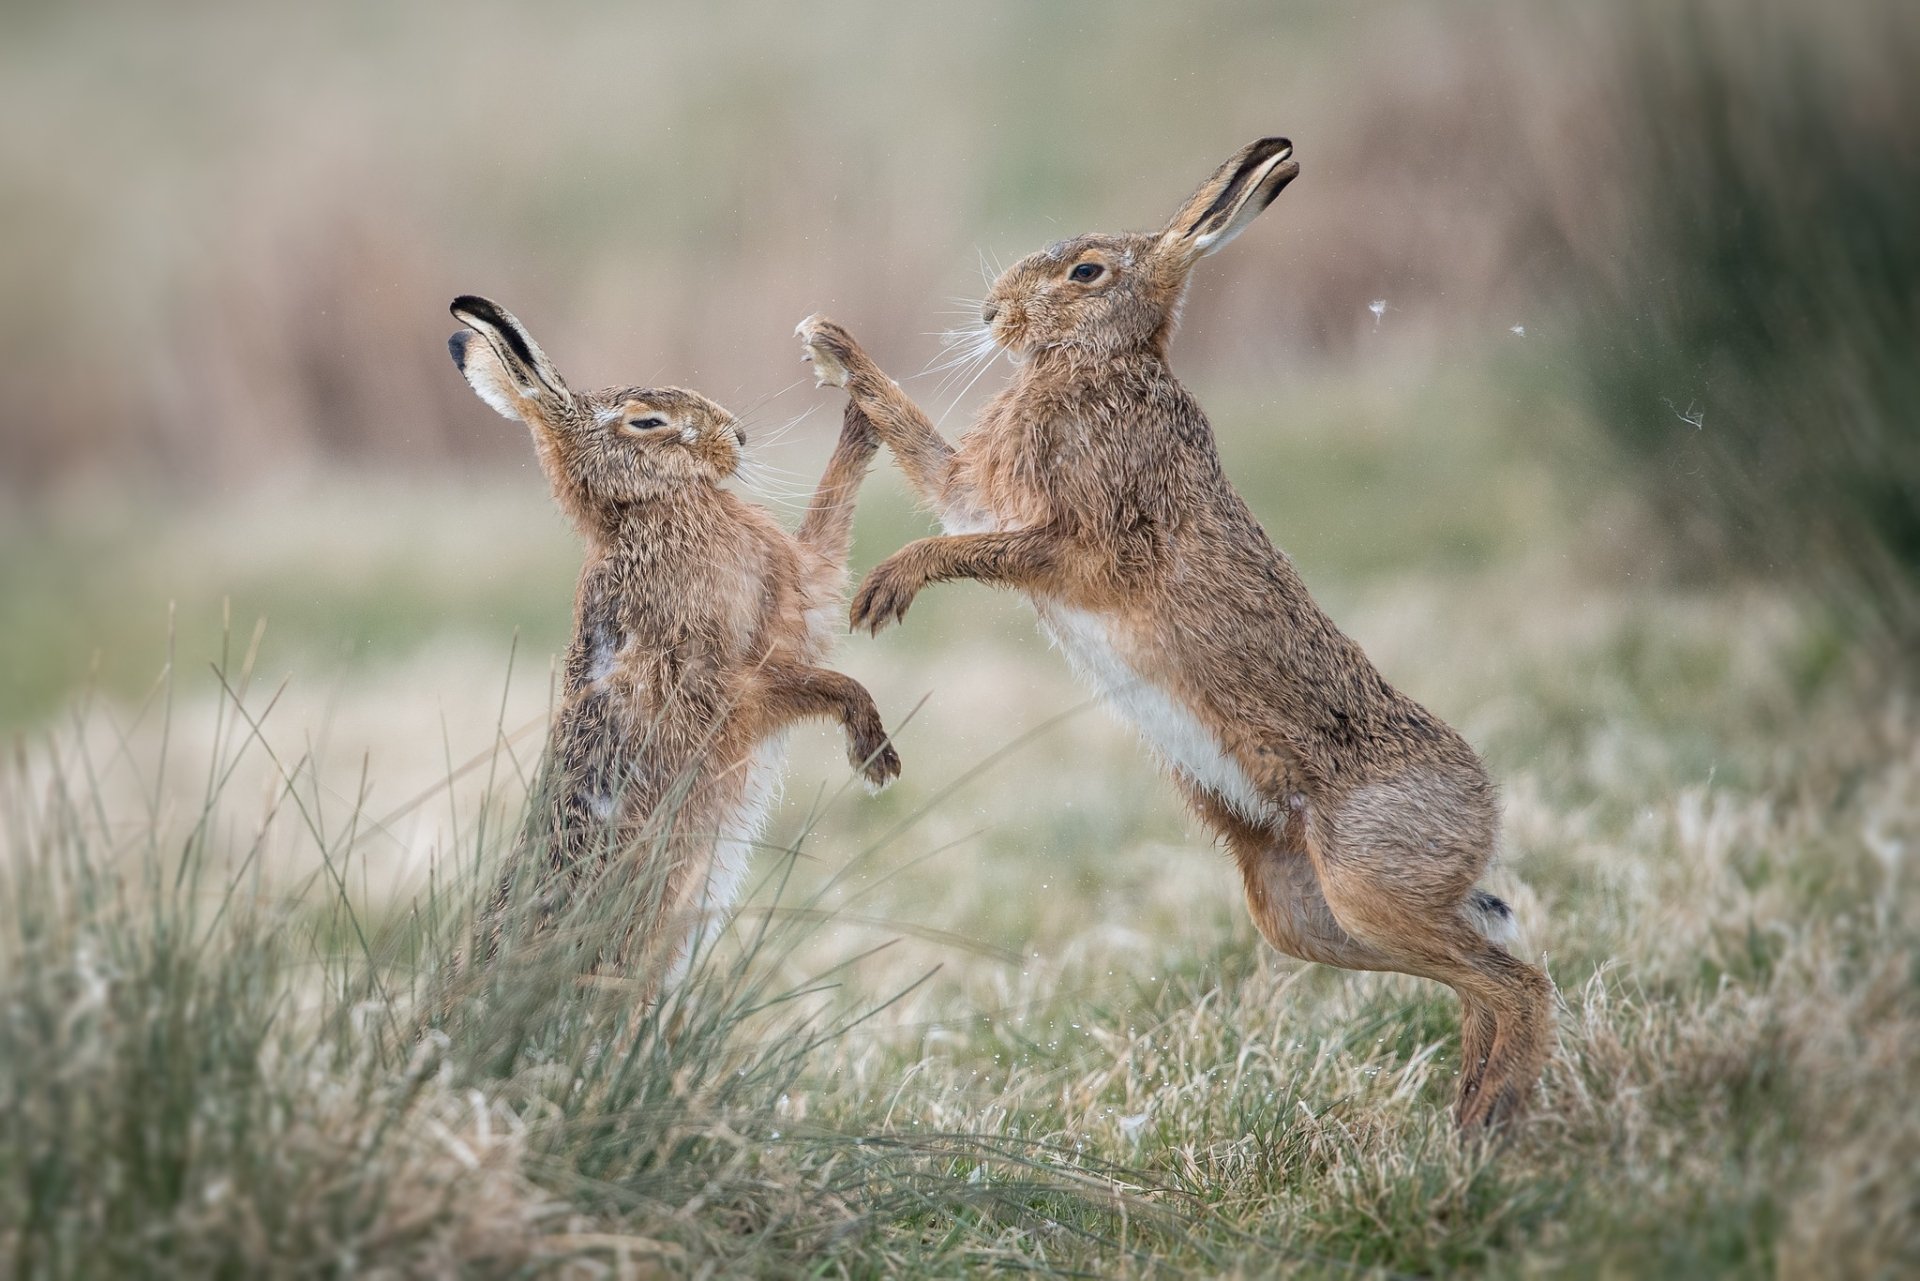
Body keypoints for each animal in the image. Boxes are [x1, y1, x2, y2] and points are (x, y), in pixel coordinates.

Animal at [448, 294, 899, 986]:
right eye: (647, 421)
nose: (738, 436)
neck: (643, 511)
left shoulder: (795, 602)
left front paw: (858, 403)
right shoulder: (732, 678)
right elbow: (825, 679)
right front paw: (874, 754)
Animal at [795, 138, 1552, 1131]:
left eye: (1085, 272)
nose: (994, 311)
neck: (1104, 364)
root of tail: (1486, 807)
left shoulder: (1074, 541)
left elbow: (970, 543)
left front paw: (885, 586)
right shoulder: (981, 492)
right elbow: (924, 451)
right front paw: (831, 347)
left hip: (1369, 885)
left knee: (1518, 983)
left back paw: (1490, 1125)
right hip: (1305, 913)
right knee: (1478, 975)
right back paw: (1467, 1123)